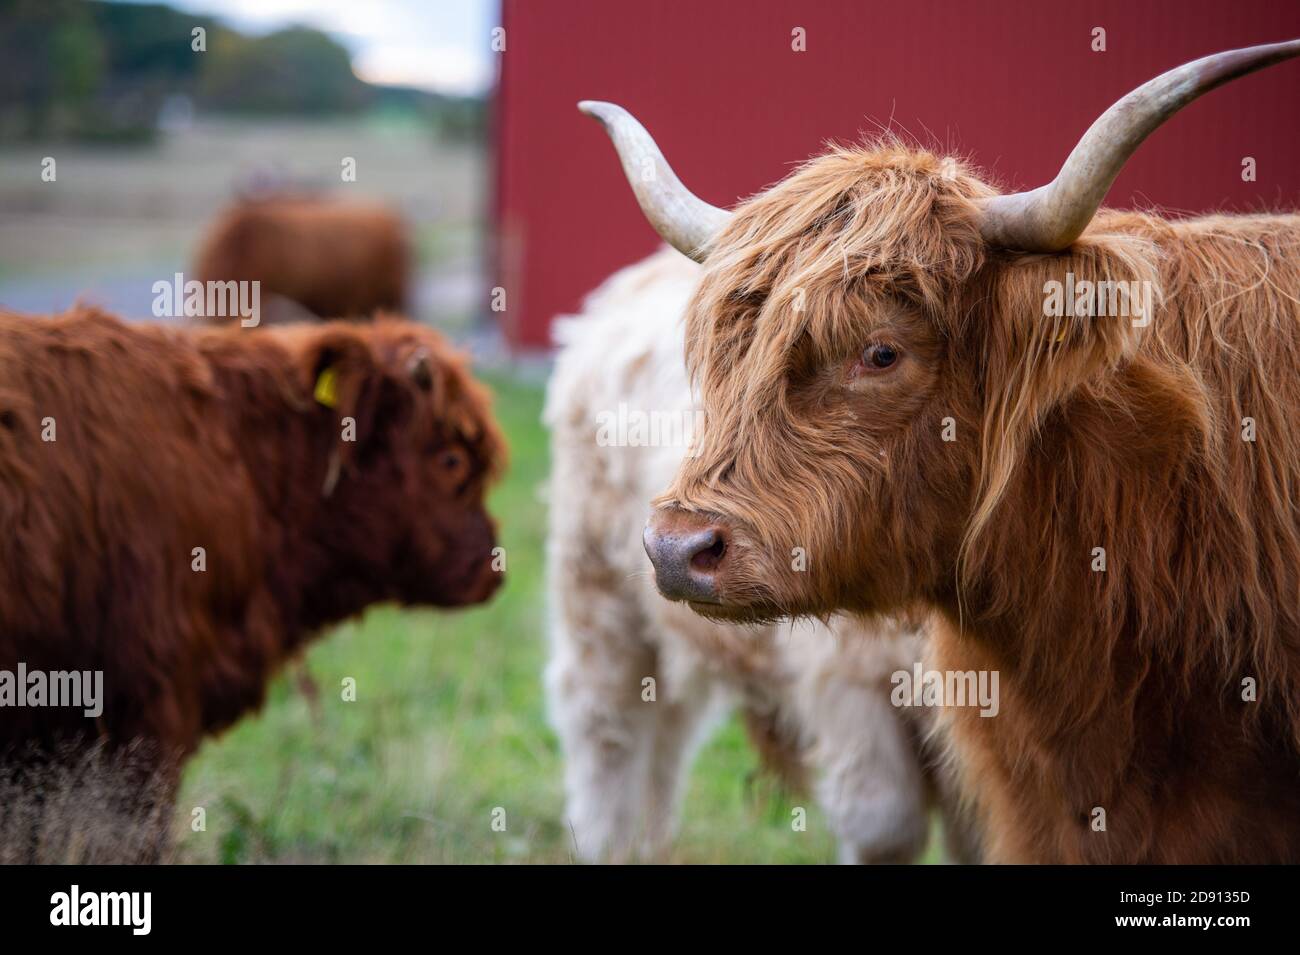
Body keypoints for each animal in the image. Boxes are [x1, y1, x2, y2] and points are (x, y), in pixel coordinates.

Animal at [546, 249, 976, 863]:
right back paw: (606, 845)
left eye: (881, 354)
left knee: (666, 730)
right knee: (606, 721)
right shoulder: (845, 678)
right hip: (597, 588)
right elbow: (884, 824)